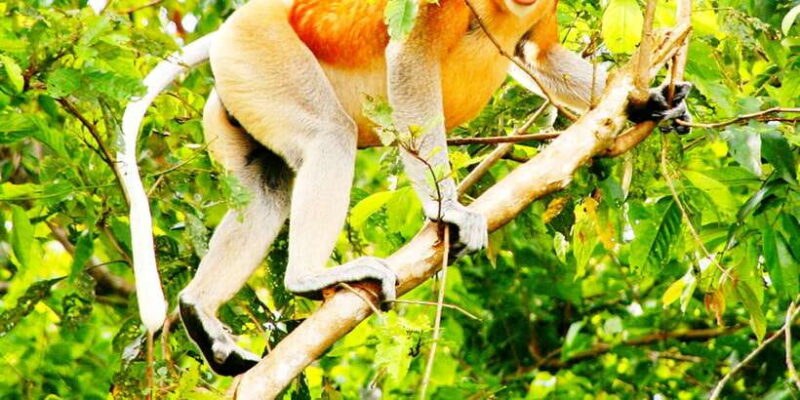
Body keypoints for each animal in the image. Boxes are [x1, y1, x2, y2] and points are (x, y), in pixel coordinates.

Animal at [120, 0, 691, 376]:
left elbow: (541, 53)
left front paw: (651, 103)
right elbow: (411, 65)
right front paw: (450, 210)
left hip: (236, 96)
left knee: (265, 190)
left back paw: (199, 312)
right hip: (260, 51)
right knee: (329, 136)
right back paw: (308, 278)